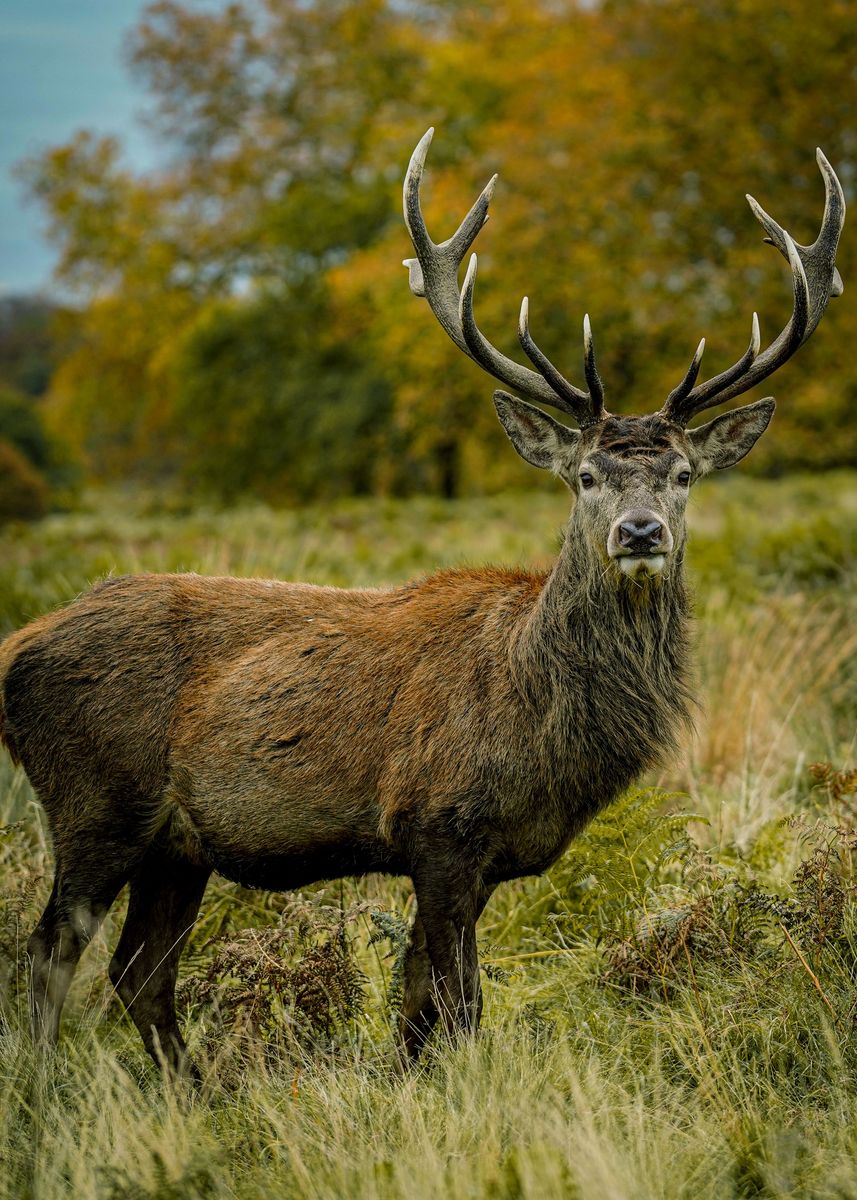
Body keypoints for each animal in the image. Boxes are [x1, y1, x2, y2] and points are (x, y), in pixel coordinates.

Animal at [0, 130, 845, 1076]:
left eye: (685, 474)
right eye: (585, 475)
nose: (639, 532)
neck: (539, 720)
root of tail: (15, 648)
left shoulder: (481, 860)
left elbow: (420, 1005)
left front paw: (406, 1084)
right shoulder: (437, 825)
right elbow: (458, 1002)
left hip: (178, 846)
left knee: (140, 973)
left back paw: (192, 1093)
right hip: (93, 798)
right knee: (50, 948)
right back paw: (44, 1089)